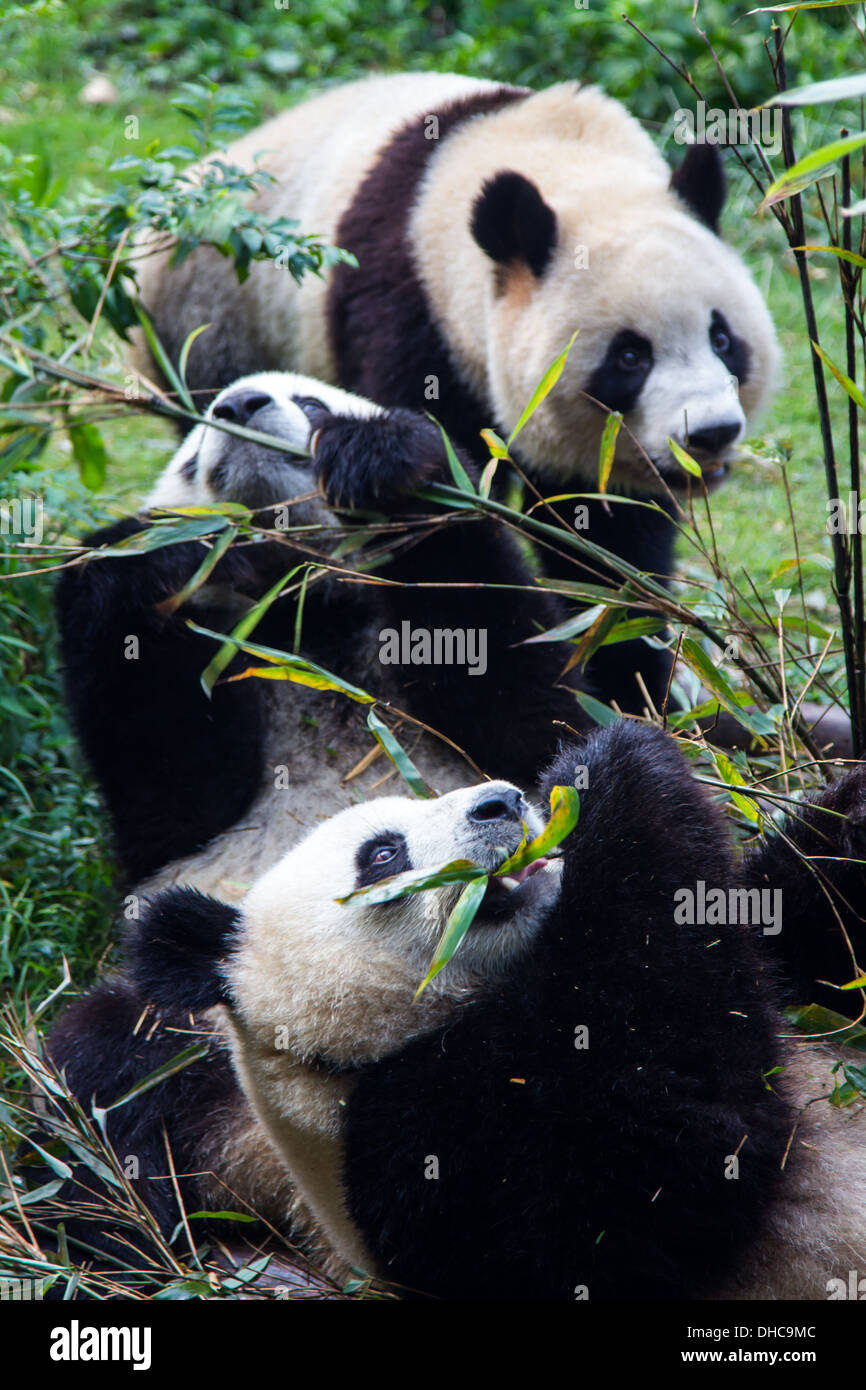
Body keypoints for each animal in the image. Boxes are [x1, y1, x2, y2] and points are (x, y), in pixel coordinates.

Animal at [47, 719, 866, 1300]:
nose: (501, 801)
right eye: (382, 854)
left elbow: (794, 923)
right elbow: (673, 1149)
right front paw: (607, 774)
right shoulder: (427, 1155)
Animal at [56, 370, 591, 899]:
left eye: (312, 405)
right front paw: (158, 555)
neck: (305, 605)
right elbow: (178, 792)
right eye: (194, 455)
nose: (239, 406)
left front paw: (382, 462)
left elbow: (534, 714)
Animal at [131, 72, 780, 711]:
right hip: (210, 320)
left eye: (723, 340)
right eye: (629, 357)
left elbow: (609, 533)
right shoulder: (408, 314)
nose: (712, 433)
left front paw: (632, 668)